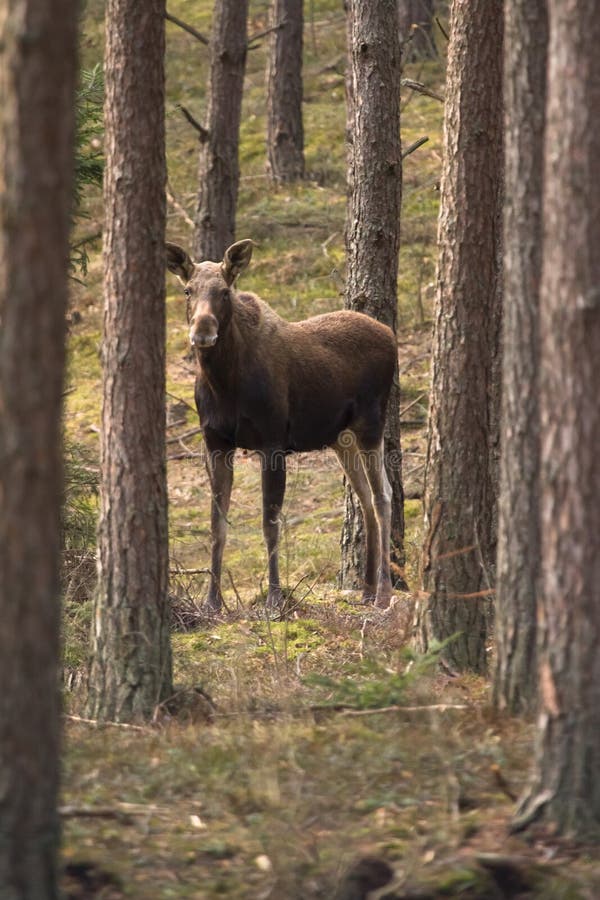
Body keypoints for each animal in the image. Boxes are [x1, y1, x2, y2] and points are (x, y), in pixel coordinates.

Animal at [166, 239, 397, 612]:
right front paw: (212, 601)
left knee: (382, 496)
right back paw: (365, 590)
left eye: (225, 291)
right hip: (341, 438)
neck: (224, 383)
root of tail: (390, 334)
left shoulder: (272, 442)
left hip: (371, 423)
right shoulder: (216, 443)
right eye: (188, 290)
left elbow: (269, 522)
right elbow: (217, 525)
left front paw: (275, 597)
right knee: (363, 497)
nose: (202, 331)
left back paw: (384, 593)